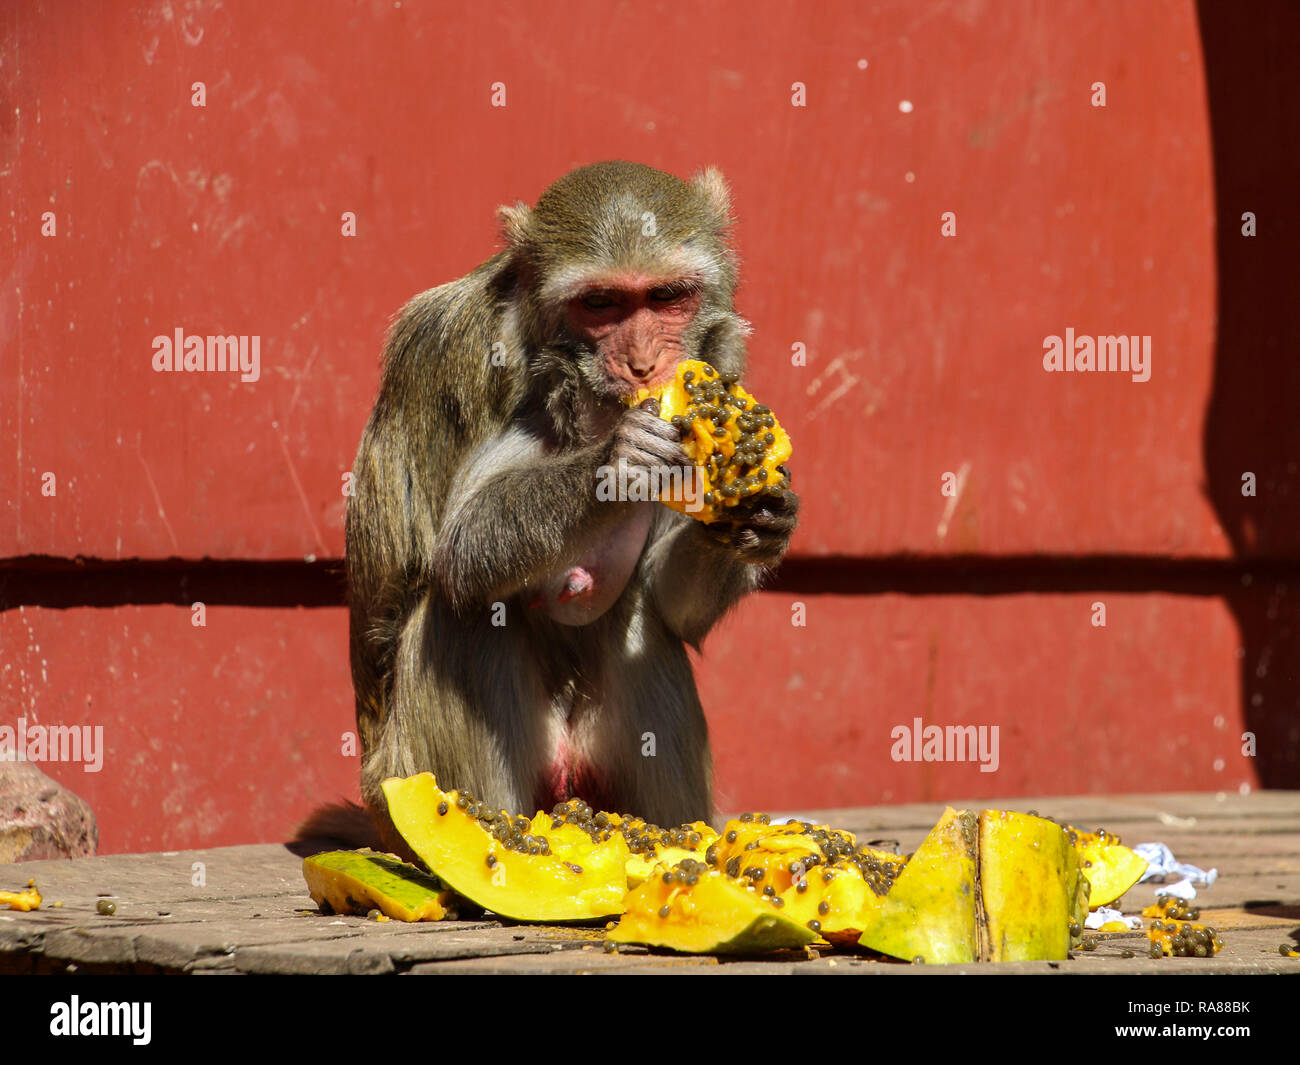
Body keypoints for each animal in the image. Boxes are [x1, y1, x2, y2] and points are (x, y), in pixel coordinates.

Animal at [329, 161, 798, 853]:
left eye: (666, 297)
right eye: (601, 304)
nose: (643, 363)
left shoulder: (720, 359)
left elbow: (669, 603)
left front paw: (763, 521)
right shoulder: (463, 352)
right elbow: (461, 549)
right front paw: (619, 465)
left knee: (641, 622)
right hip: (400, 788)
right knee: (463, 613)